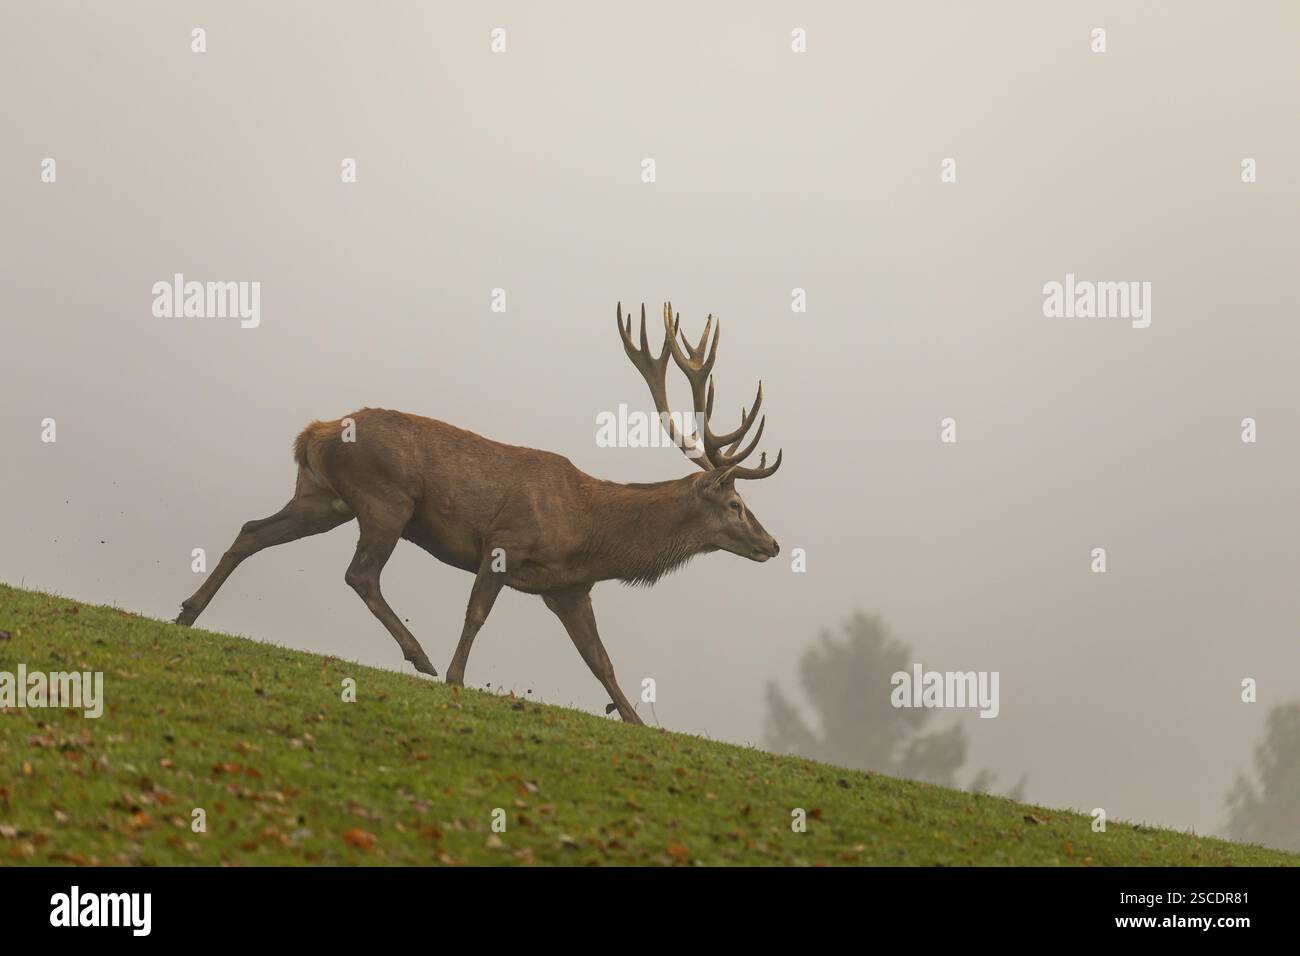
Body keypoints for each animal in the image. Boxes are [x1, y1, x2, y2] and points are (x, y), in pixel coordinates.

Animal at [174, 303, 782, 724]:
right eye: (736, 504)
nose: (773, 545)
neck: (590, 531)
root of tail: (314, 433)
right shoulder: (505, 542)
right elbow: (476, 614)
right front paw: (455, 676)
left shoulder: (569, 588)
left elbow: (600, 659)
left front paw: (634, 719)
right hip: (386, 501)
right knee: (359, 573)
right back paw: (418, 655)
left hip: (322, 500)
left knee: (253, 531)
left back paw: (188, 612)